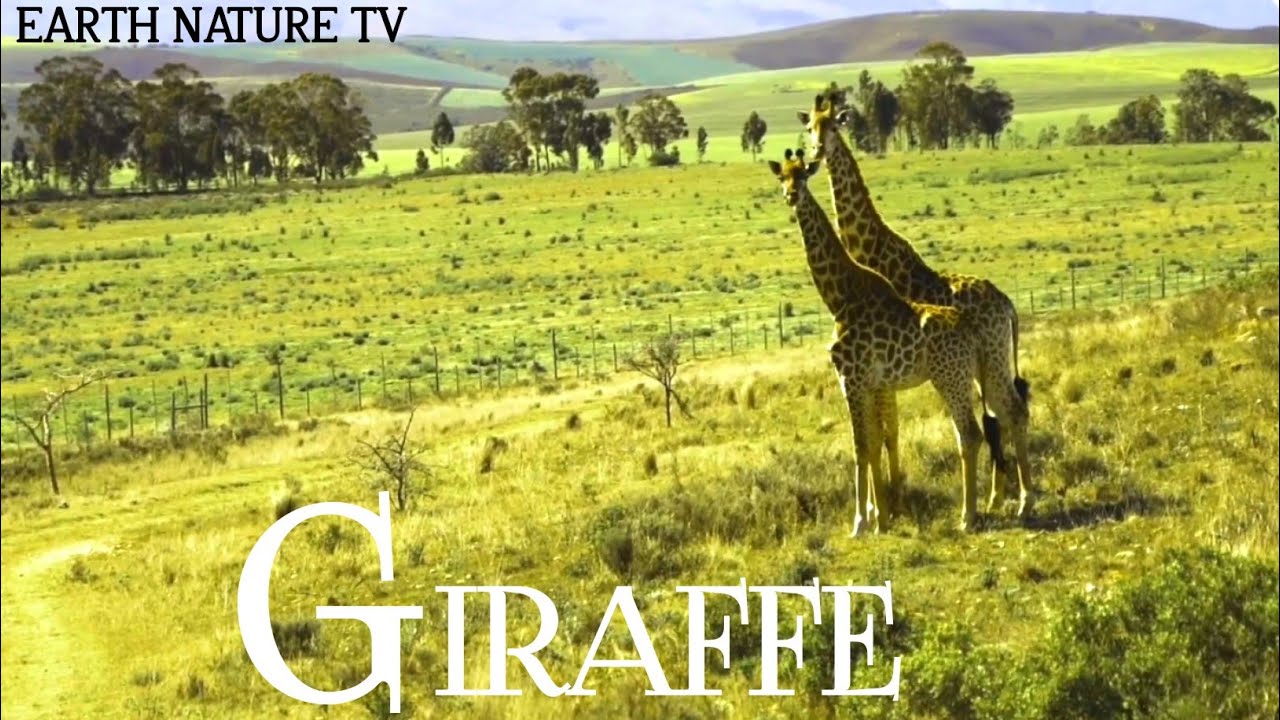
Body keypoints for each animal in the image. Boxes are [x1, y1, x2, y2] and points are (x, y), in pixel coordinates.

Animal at [768, 147, 988, 534]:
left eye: (804, 174)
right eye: (783, 176)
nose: (791, 196)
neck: (839, 296)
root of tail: (971, 331)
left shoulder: (850, 379)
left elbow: (859, 446)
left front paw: (858, 523)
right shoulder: (870, 383)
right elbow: (872, 444)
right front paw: (880, 519)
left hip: (950, 378)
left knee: (970, 433)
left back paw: (968, 517)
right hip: (962, 378)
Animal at [797, 93, 1035, 520]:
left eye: (835, 125)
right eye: (810, 127)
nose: (817, 151)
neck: (869, 253)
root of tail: (1008, 305)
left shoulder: (877, 364)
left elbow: (884, 430)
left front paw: (884, 507)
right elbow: (888, 430)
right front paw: (890, 502)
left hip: (988, 360)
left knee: (1005, 413)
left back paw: (1017, 499)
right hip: (987, 363)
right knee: (998, 414)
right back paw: (999, 496)